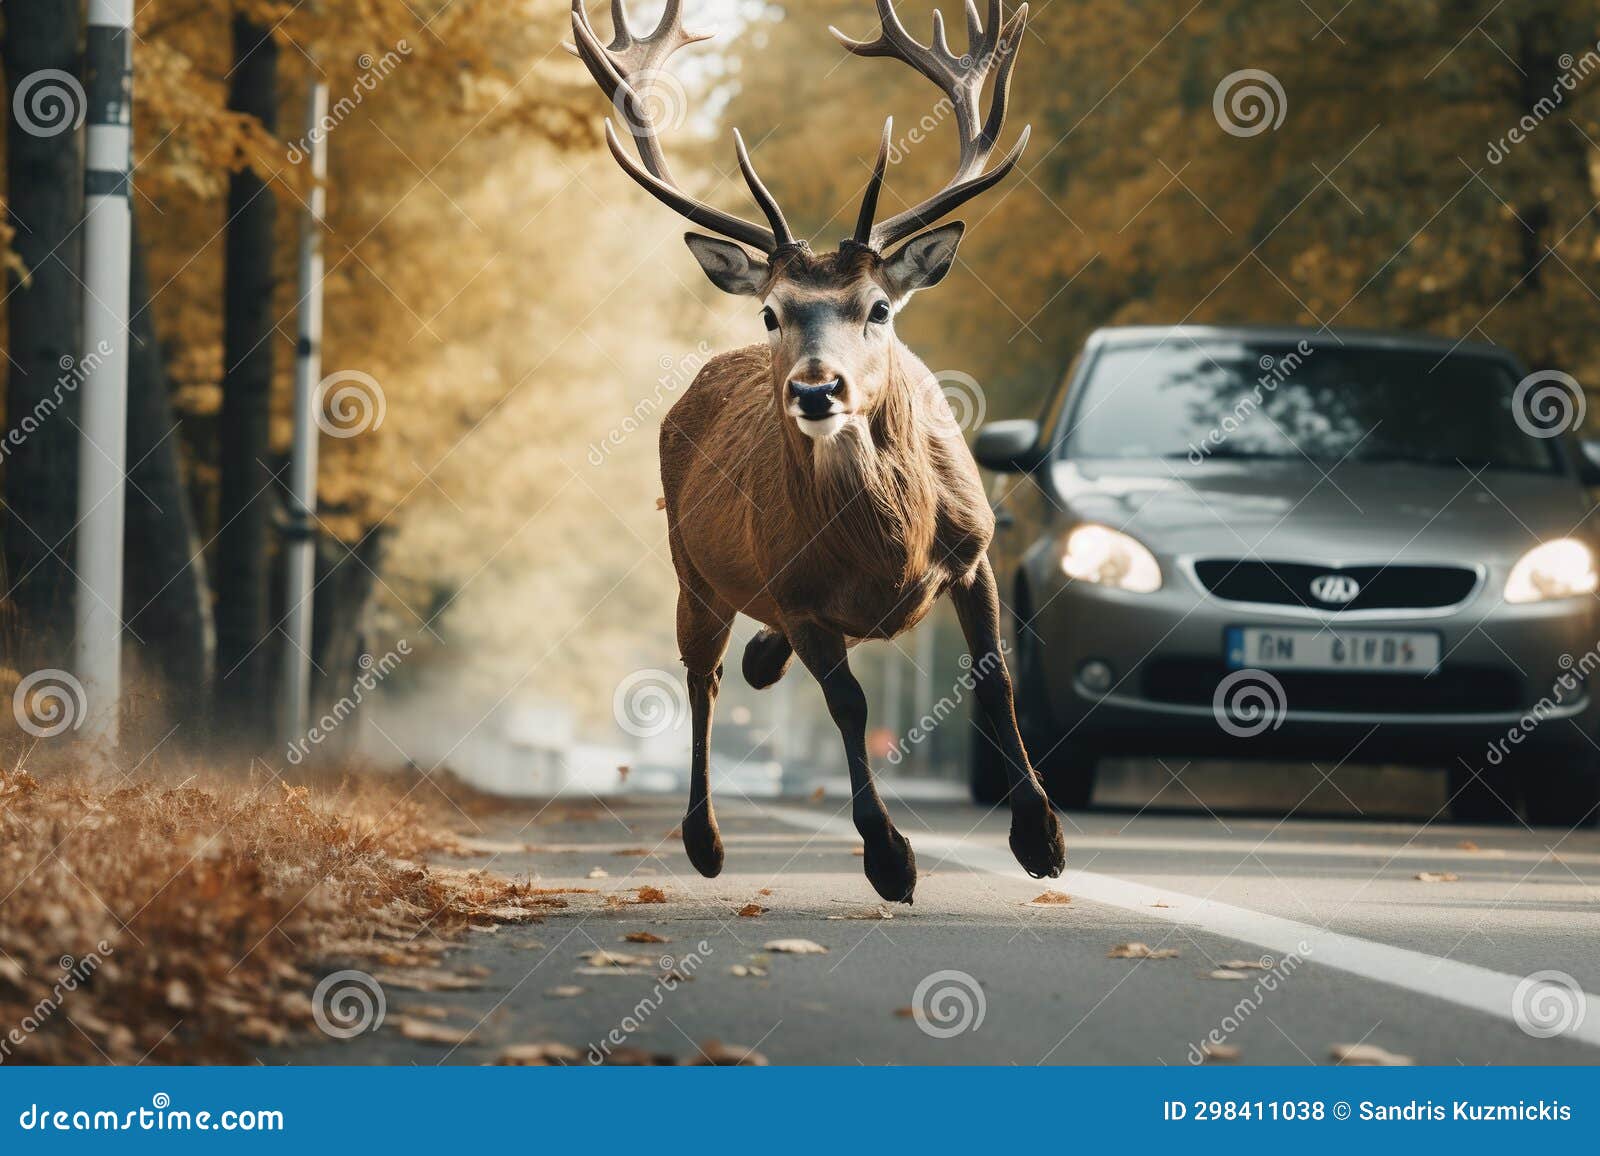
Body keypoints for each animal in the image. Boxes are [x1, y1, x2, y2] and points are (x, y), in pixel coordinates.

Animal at [569, 0, 1066, 903]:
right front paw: (890, 859)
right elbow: (849, 707)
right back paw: (705, 839)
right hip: (690, 568)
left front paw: (1040, 836)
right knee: (703, 677)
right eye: (773, 311)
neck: (892, 544)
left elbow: (995, 675)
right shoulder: (795, 592)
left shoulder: (976, 551)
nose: (814, 389)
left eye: (879, 307)